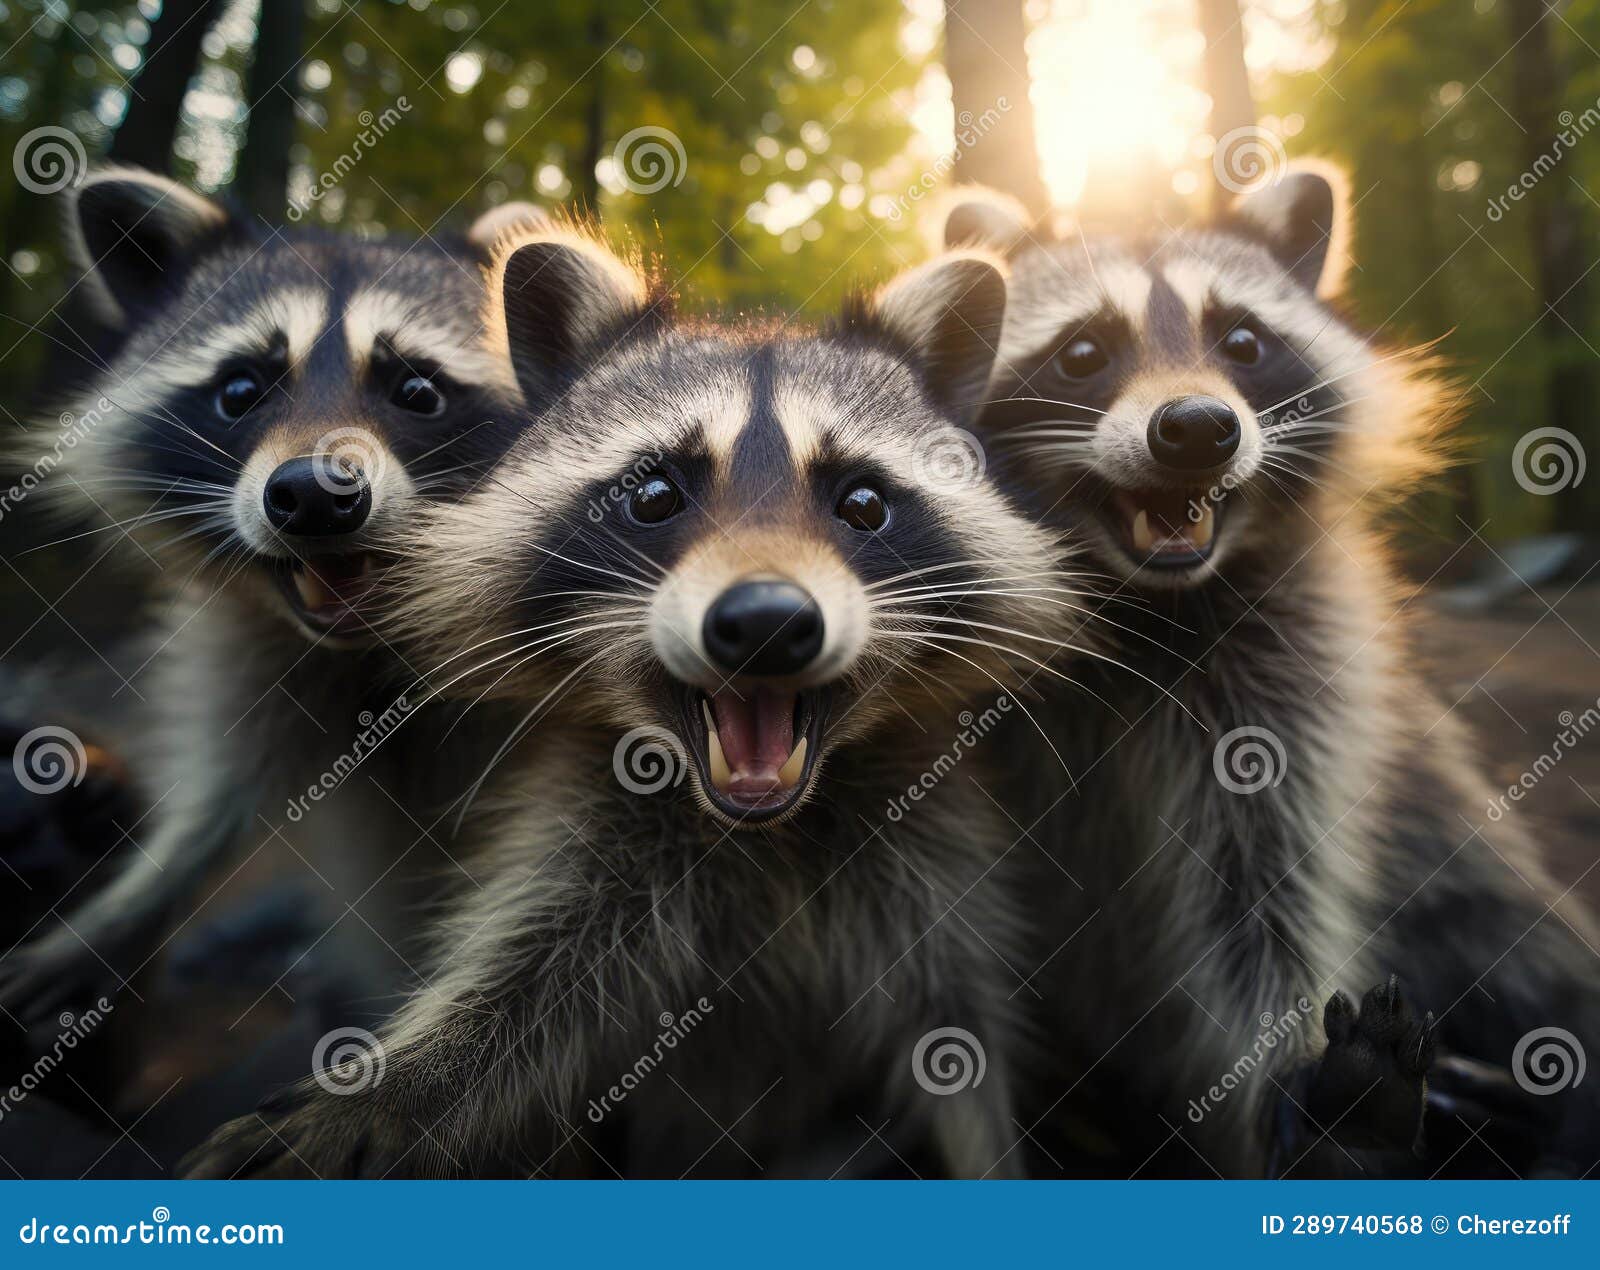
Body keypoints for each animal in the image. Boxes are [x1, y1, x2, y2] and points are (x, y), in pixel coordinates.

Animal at [0, 169, 547, 1027]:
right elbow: (223, 781)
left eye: (416, 389)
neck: (374, 645)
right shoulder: (253, 645)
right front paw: (136, 898)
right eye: (241, 389)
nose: (318, 495)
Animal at [180, 231, 1083, 1179]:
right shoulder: (596, 827)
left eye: (864, 502)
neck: (766, 827)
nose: (766, 623)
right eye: (654, 495)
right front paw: (396, 1091)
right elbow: (523, 992)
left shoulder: (930, 853)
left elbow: (957, 1039)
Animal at [943, 166, 1600, 1175]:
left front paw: (1290, 1062)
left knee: (1512, 930)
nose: (1196, 428)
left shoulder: (1294, 667)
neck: (1149, 604)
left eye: (1243, 341)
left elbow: (1262, 881)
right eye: (1084, 351)